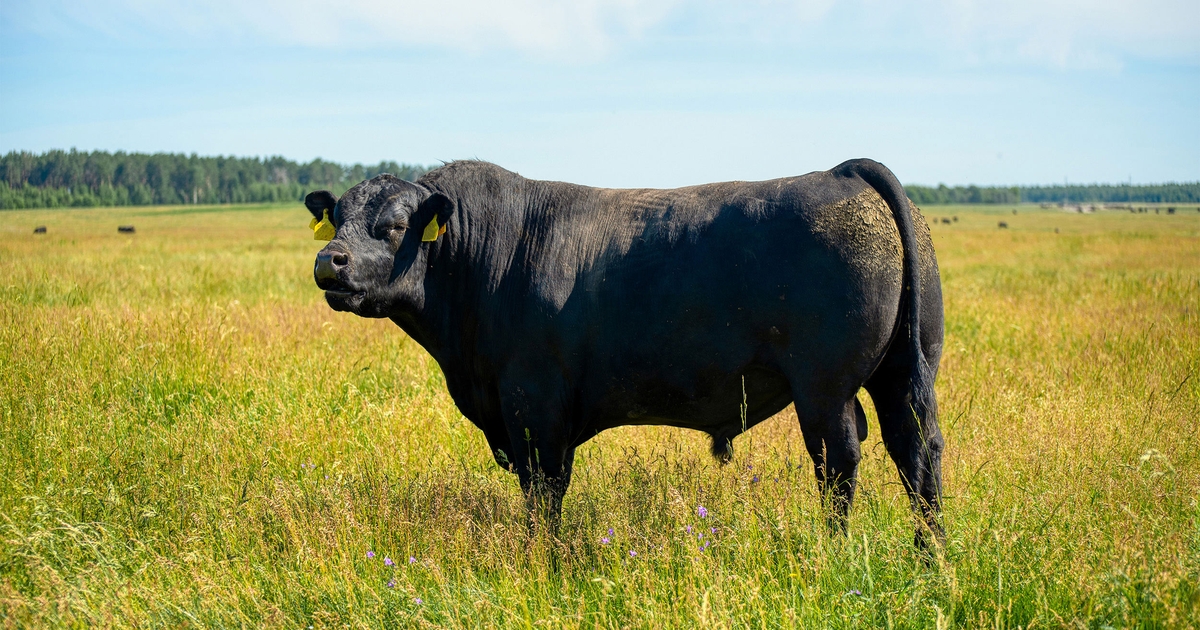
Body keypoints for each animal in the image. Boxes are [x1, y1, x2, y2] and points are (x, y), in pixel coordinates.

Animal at [306, 158, 945, 546]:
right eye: (337, 219)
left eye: (393, 226)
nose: (329, 261)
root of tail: (841, 172)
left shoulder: (533, 404)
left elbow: (544, 489)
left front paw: (545, 562)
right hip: (902, 374)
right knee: (917, 453)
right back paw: (929, 554)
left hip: (824, 389)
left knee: (840, 463)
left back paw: (833, 550)